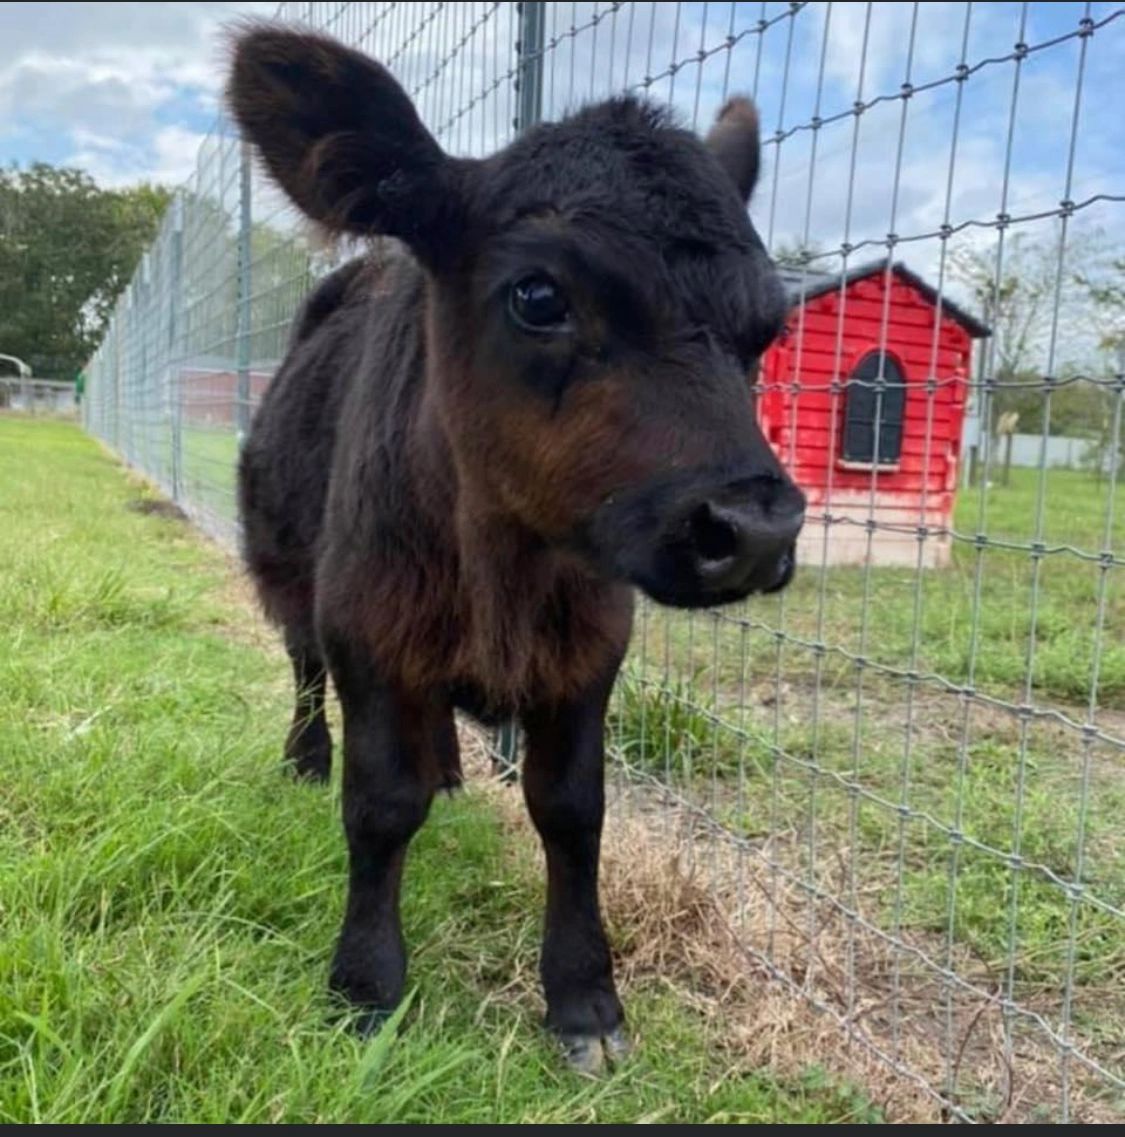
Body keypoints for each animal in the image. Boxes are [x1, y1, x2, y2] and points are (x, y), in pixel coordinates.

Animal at [226, 23, 805, 1073]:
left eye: (768, 328)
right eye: (538, 295)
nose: (753, 531)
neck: (502, 574)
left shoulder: (590, 652)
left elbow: (571, 811)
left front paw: (584, 1000)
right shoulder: (367, 628)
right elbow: (380, 803)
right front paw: (365, 986)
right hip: (286, 569)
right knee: (301, 671)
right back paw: (304, 756)